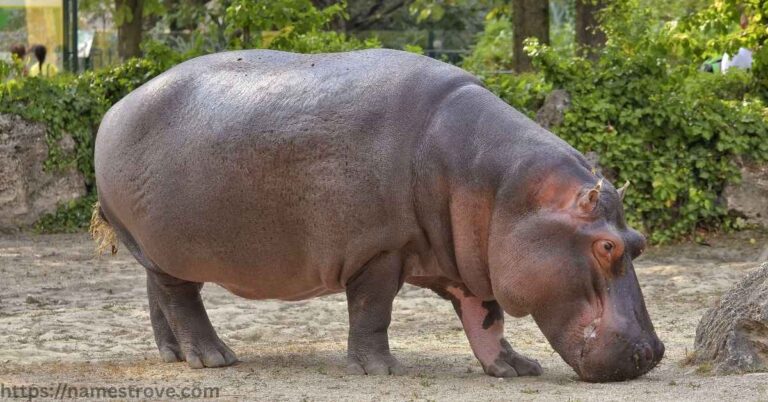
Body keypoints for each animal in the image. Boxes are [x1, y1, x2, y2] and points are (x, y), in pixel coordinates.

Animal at [92, 49, 664, 382]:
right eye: (607, 246)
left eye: (637, 240)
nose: (655, 351)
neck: (506, 190)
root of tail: (115, 108)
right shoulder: (380, 250)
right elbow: (373, 310)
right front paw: (381, 369)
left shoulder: (472, 262)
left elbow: (487, 316)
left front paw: (516, 368)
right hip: (166, 247)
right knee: (181, 301)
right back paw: (215, 358)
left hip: (154, 247)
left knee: (159, 296)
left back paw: (173, 355)